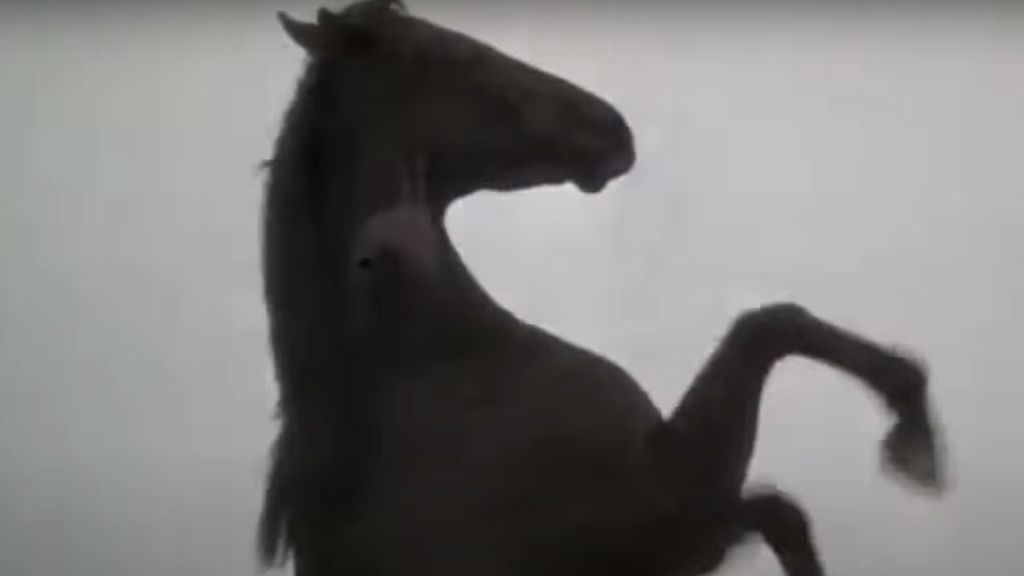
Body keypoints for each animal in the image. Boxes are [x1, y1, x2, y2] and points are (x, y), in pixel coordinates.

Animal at [257, 2, 947, 575]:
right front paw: (916, 445)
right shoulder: (667, 516)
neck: (434, 362)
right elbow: (771, 338)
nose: (610, 125)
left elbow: (779, 482)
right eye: (455, 56)